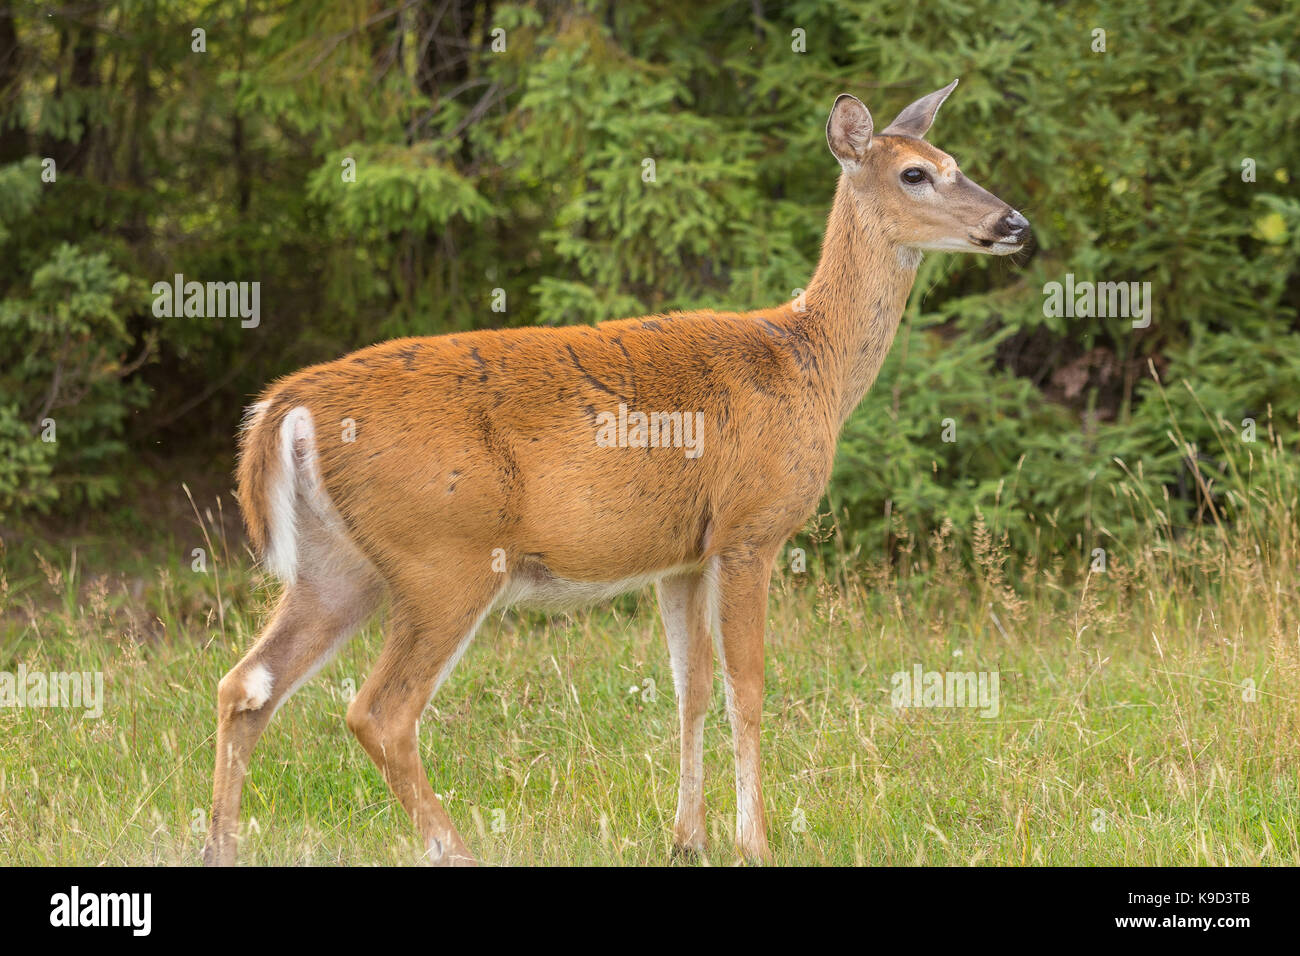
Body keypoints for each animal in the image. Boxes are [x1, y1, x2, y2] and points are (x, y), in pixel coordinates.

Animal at [202, 79, 1029, 867]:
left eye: (957, 162)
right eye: (916, 172)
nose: (1014, 222)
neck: (811, 365)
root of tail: (288, 406)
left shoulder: (682, 556)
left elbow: (691, 689)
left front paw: (686, 839)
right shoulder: (750, 529)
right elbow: (749, 688)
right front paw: (754, 844)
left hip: (338, 566)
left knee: (246, 683)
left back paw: (219, 848)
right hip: (444, 556)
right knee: (380, 711)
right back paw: (459, 851)